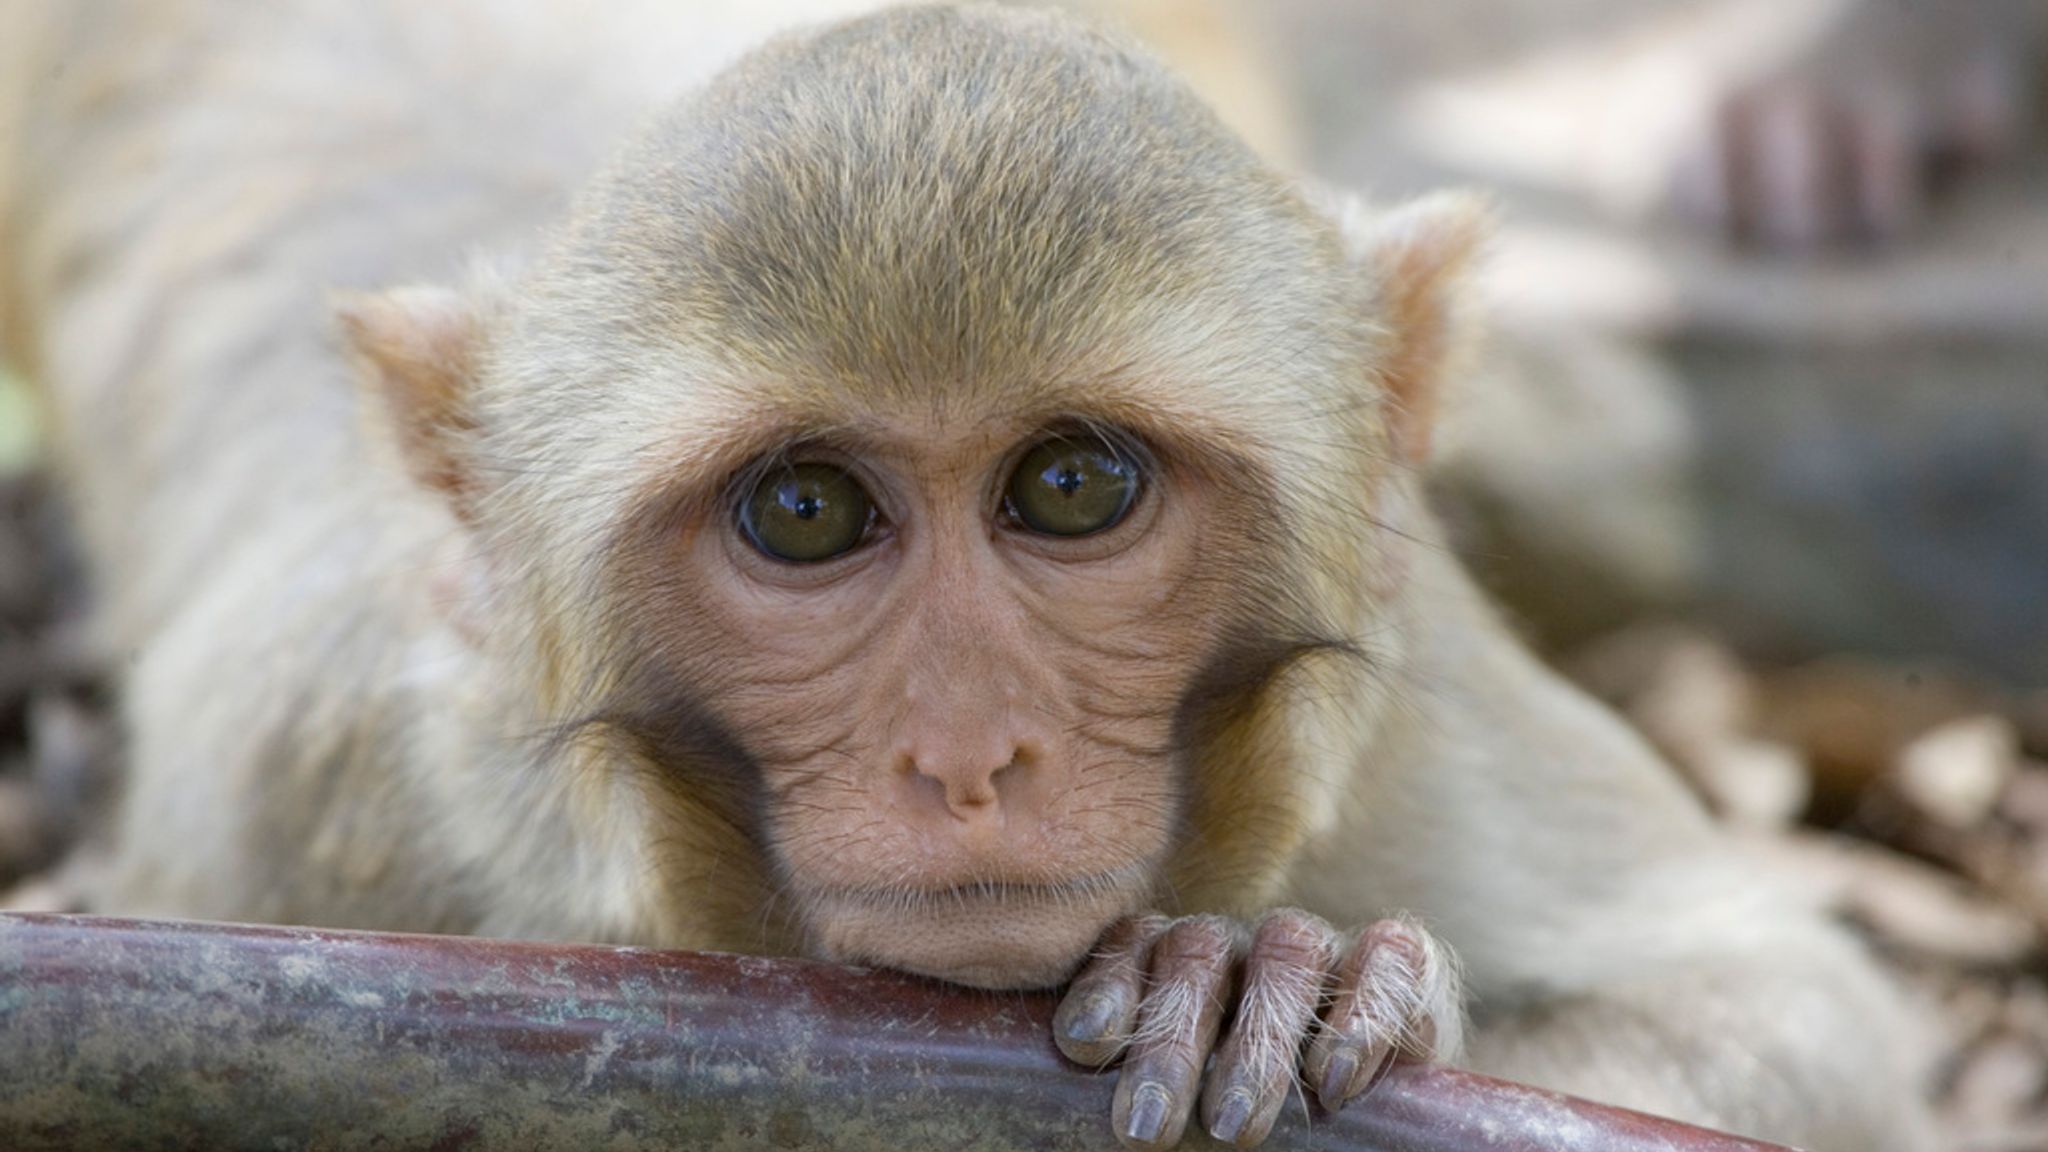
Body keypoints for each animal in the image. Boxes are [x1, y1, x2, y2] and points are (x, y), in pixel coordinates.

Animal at [0, 3, 1933, 1150]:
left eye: (1070, 487)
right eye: (802, 511)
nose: (966, 755)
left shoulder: (1413, 699)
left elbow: (1793, 1018)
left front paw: (1266, 982)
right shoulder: (304, 794)